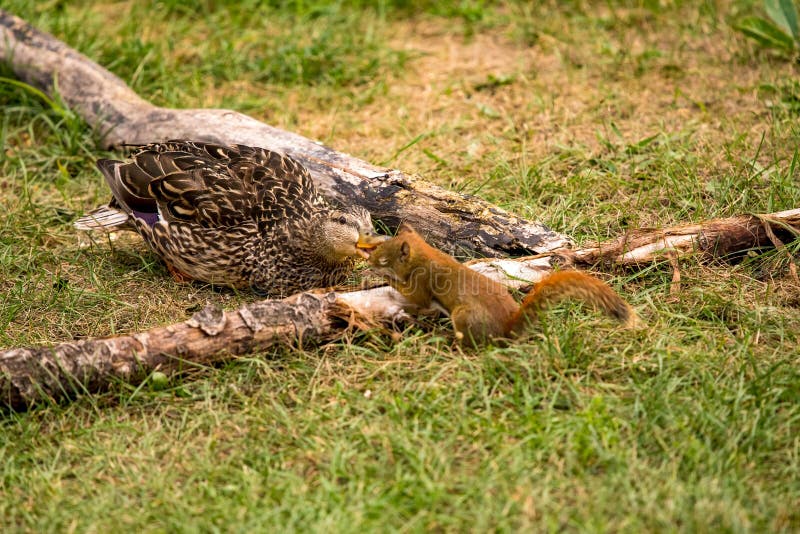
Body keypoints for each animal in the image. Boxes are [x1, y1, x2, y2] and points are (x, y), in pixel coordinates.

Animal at [367, 223, 641, 346]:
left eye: (384, 259)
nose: (368, 260)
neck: (425, 255)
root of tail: (505, 331)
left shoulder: (423, 281)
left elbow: (417, 298)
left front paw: (387, 278)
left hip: (464, 315)